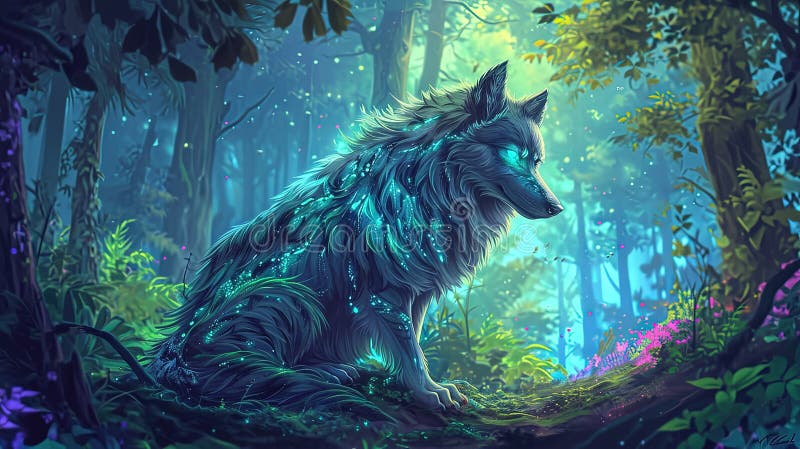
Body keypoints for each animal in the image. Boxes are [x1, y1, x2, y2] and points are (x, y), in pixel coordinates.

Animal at [149, 61, 563, 412]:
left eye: (536, 161)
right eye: (510, 153)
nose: (556, 207)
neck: (425, 186)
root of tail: (171, 353)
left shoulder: (417, 294)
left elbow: (415, 342)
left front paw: (424, 386)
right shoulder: (383, 294)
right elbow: (411, 350)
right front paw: (430, 392)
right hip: (291, 296)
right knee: (242, 372)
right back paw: (319, 374)